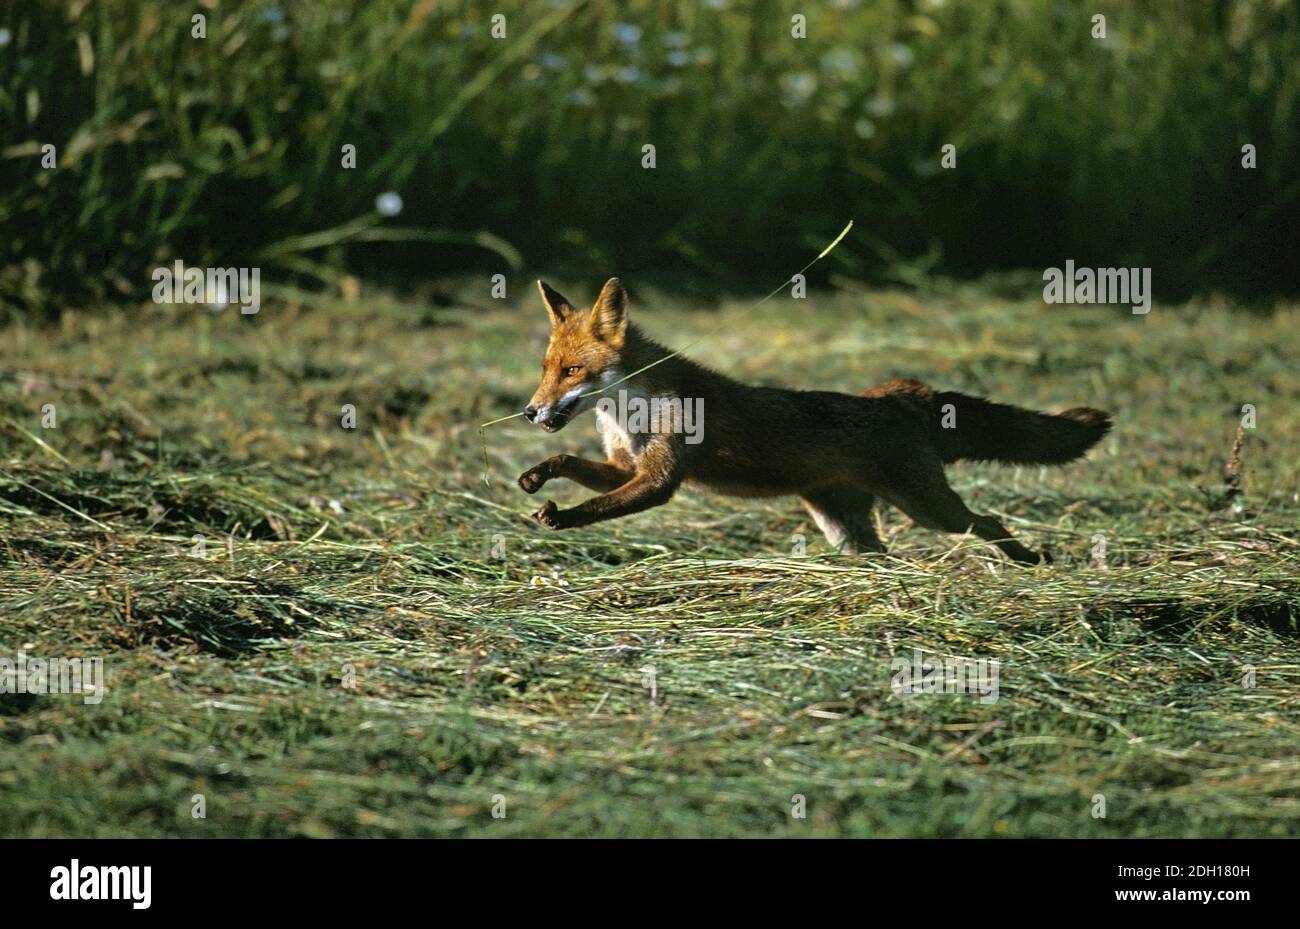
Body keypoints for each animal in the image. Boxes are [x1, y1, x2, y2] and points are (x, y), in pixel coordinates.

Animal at [518, 277, 1112, 564]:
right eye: (545, 370)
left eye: (572, 371)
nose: (529, 411)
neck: (628, 413)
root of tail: (901, 394)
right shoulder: (626, 467)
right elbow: (571, 461)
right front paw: (539, 474)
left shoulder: (660, 477)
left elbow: (599, 507)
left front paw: (562, 517)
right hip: (845, 526)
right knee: (883, 554)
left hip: (926, 508)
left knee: (987, 523)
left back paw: (1029, 560)